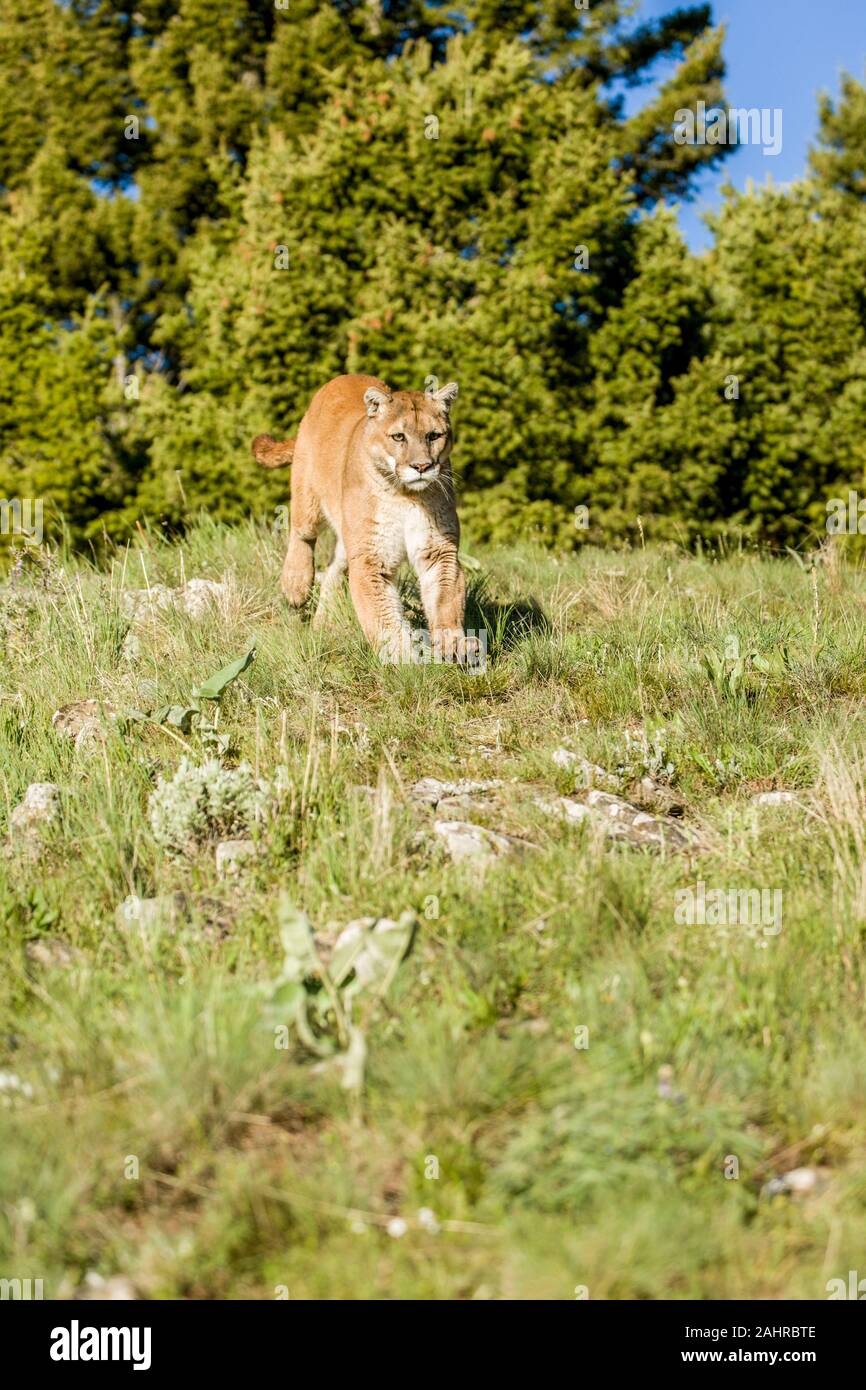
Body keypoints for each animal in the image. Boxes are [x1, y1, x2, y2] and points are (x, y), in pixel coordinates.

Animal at [252, 373, 477, 663]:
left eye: (434, 436)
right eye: (398, 436)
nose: (421, 466)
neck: (405, 494)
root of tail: (342, 378)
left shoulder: (438, 550)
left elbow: (446, 599)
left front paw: (454, 645)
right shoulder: (371, 558)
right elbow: (382, 616)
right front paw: (403, 660)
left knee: (335, 569)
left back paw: (323, 624)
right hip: (308, 496)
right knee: (302, 534)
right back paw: (296, 586)